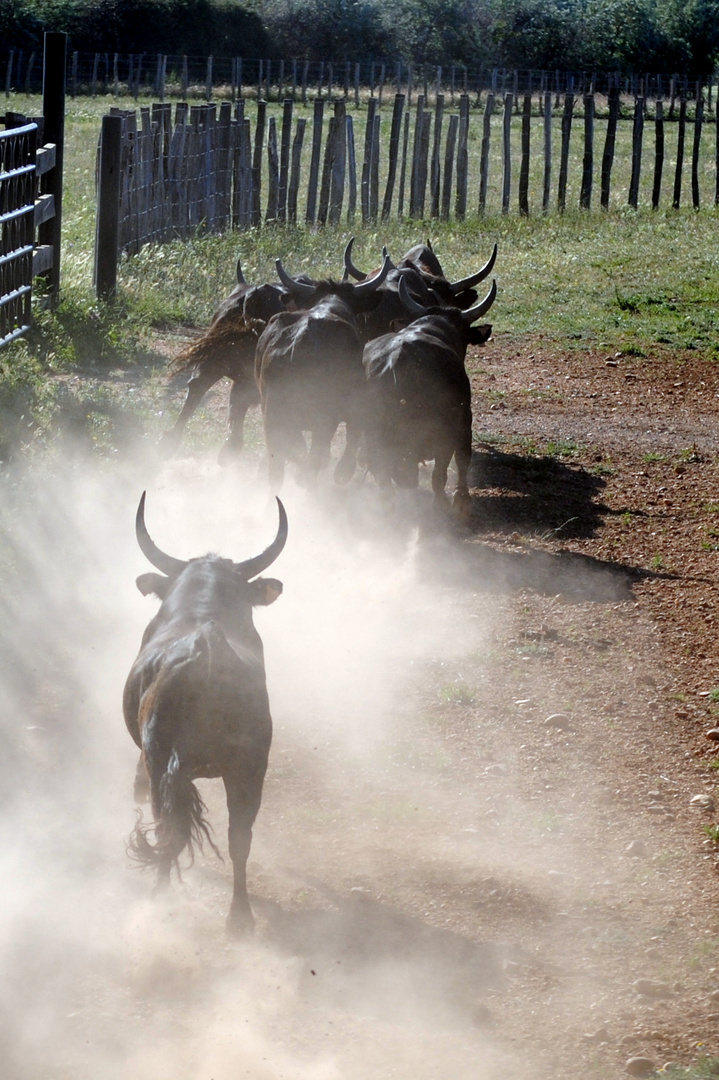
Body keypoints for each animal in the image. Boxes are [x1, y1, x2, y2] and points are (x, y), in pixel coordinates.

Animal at [122, 494, 285, 933]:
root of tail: (206, 645)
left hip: (167, 763)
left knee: (167, 827)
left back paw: (161, 897)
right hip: (249, 768)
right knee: (239, 837)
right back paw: (240, 918)